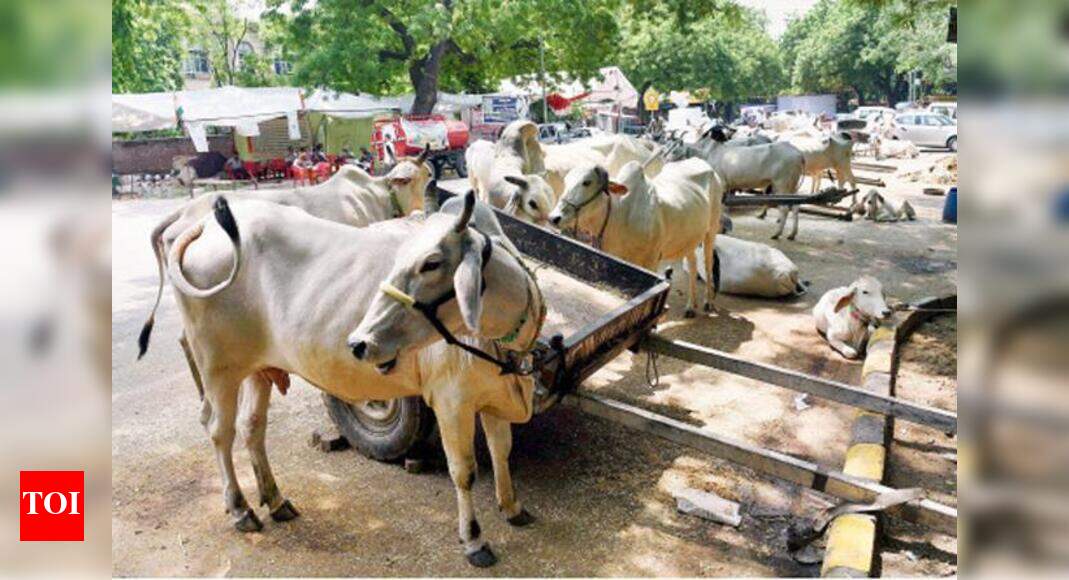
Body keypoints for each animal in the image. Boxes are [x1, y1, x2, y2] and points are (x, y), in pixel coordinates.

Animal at [148, 191, 543, 567]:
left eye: (431, 263)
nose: (358, 342)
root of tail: (202, 225)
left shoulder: (493, 398)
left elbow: (501, 451)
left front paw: (512, 507)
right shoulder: (452, 401)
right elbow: (464, 471)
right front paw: (474, 541)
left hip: (257, 369)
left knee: (252, 426)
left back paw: (275, 500)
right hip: (217, 368)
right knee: (219, 430)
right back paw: (240, 509)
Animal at [548, 158, 723, 317]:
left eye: (587, 182)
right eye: (566, 181)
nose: (554, 218)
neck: (619, 214)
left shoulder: (652, 261)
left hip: (711, 230)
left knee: (708, 263)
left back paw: (708, 302)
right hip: (689, 239)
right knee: (693, 264)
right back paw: (690, 307)